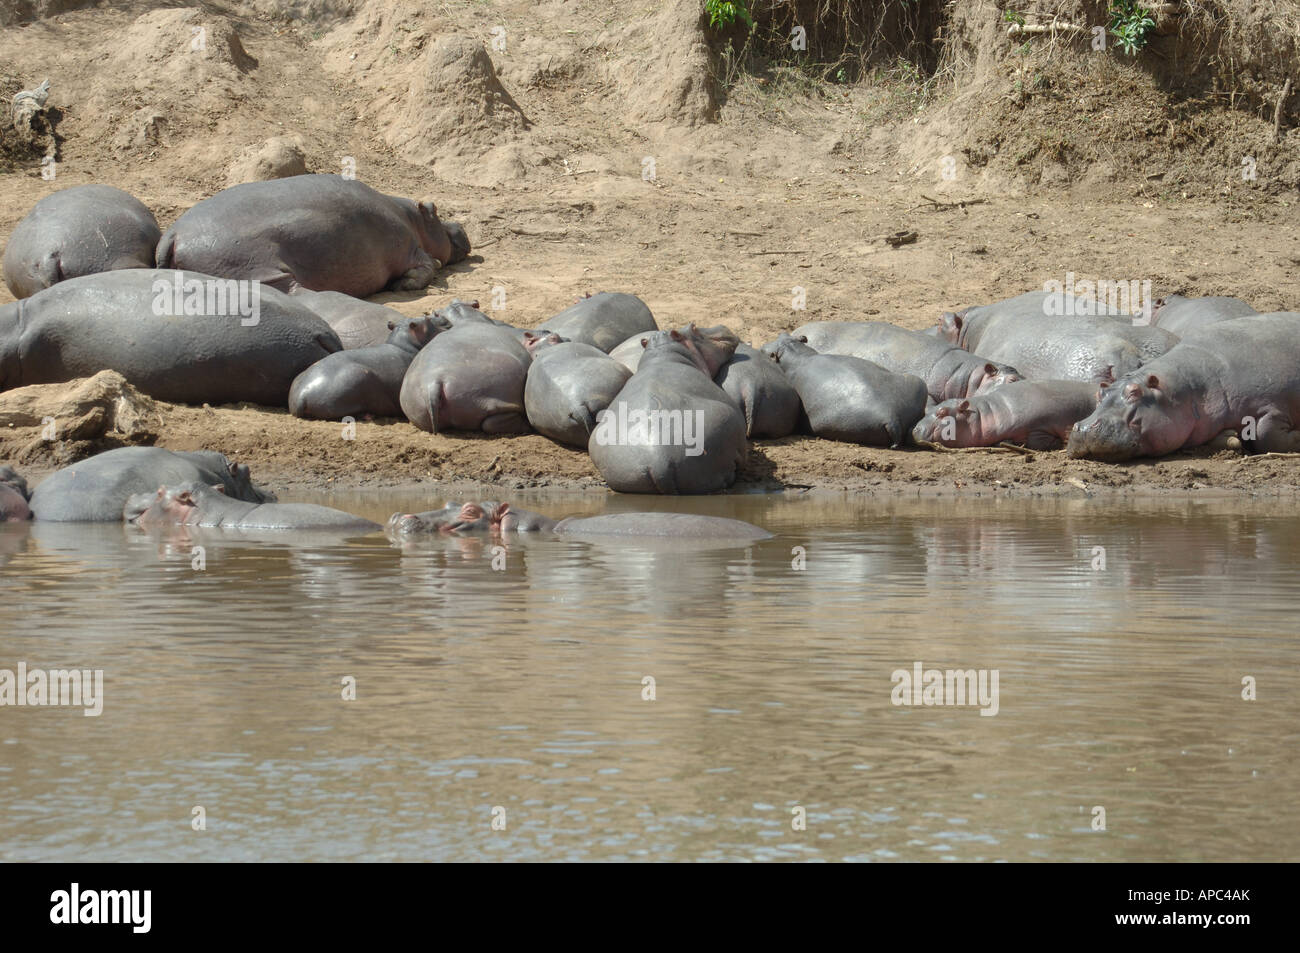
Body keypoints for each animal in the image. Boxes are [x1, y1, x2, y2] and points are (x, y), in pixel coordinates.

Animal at [156, 174, 470, 297]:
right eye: (435, 209)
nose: (461, 226)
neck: (411, 218)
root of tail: (172, 232)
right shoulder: (411, 248)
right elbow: (428, 266)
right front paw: (405, 284)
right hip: (252, 265)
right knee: (287, 288)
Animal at [761, 333, 927, 447]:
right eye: (783, 334)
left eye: (765, 351)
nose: (762, 345)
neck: (794, 353)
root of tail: (892, 417)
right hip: (917, 382)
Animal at [1068, 312, 1300, 460]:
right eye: (1100, 392)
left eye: (1134, 392)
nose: (1085, 427)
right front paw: (1231, 437)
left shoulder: (1271, 404)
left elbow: (1265, 433)